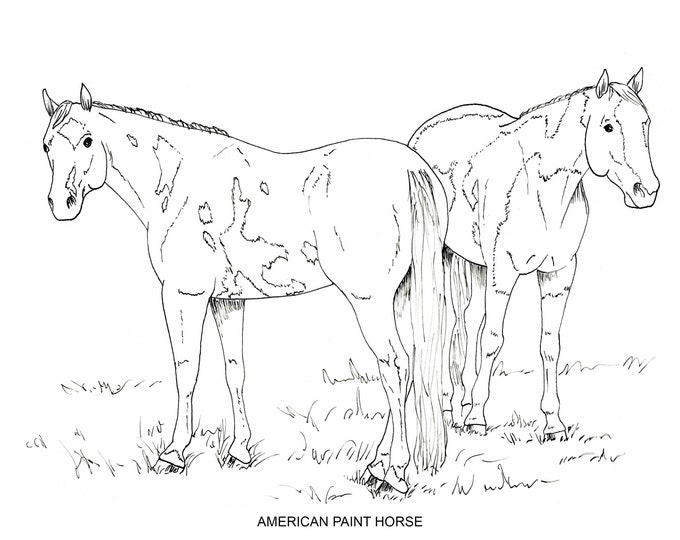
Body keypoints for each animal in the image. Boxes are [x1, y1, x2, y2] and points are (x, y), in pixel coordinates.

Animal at [41, 84, 449, 492]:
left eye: (87, 140)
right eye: (47, 146)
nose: (61, 204)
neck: (182, 181)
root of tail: (411, 168)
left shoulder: (183, 295)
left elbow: (186, 370)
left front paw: (173, 453)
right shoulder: (227, 300)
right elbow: (234, 371)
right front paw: (239, 451)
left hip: (369, 302)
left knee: (394, 366)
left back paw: (393, 472)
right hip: (399, 297)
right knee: (407, 366)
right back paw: (380, 464)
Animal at [409, 69, 659, 439]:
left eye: (646, 123)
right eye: (608, 126)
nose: (646, 191)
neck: (542, 189)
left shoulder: (558, 274)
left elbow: (549, 345)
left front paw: (553, 423)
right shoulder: (503, 272)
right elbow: (492, 341)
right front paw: (478, 419)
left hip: (476, 264)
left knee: (470, 320)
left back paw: (460, 406)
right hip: (443, 256)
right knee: (451, 324)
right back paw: (451, 409)